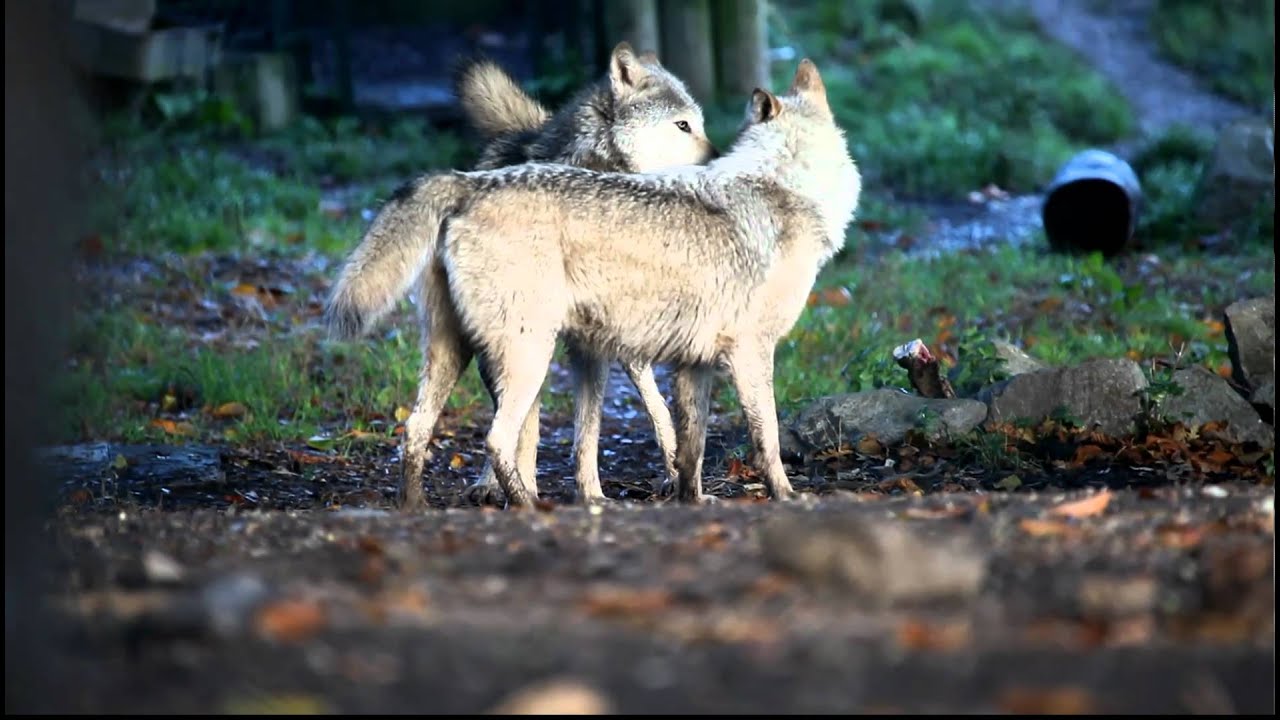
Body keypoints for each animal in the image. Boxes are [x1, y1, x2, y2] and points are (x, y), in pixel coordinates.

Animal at [326, 59, 860, 509]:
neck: (784, 189)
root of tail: (468, 182)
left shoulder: (694, 364)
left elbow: (690, 448)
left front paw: (693, 500)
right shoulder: (751, 353)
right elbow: (766, 438)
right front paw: (787, 496)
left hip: (459, 354)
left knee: (416, 430)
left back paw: (415, 508)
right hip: (532, 355)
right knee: (499, 438)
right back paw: (529, 505)